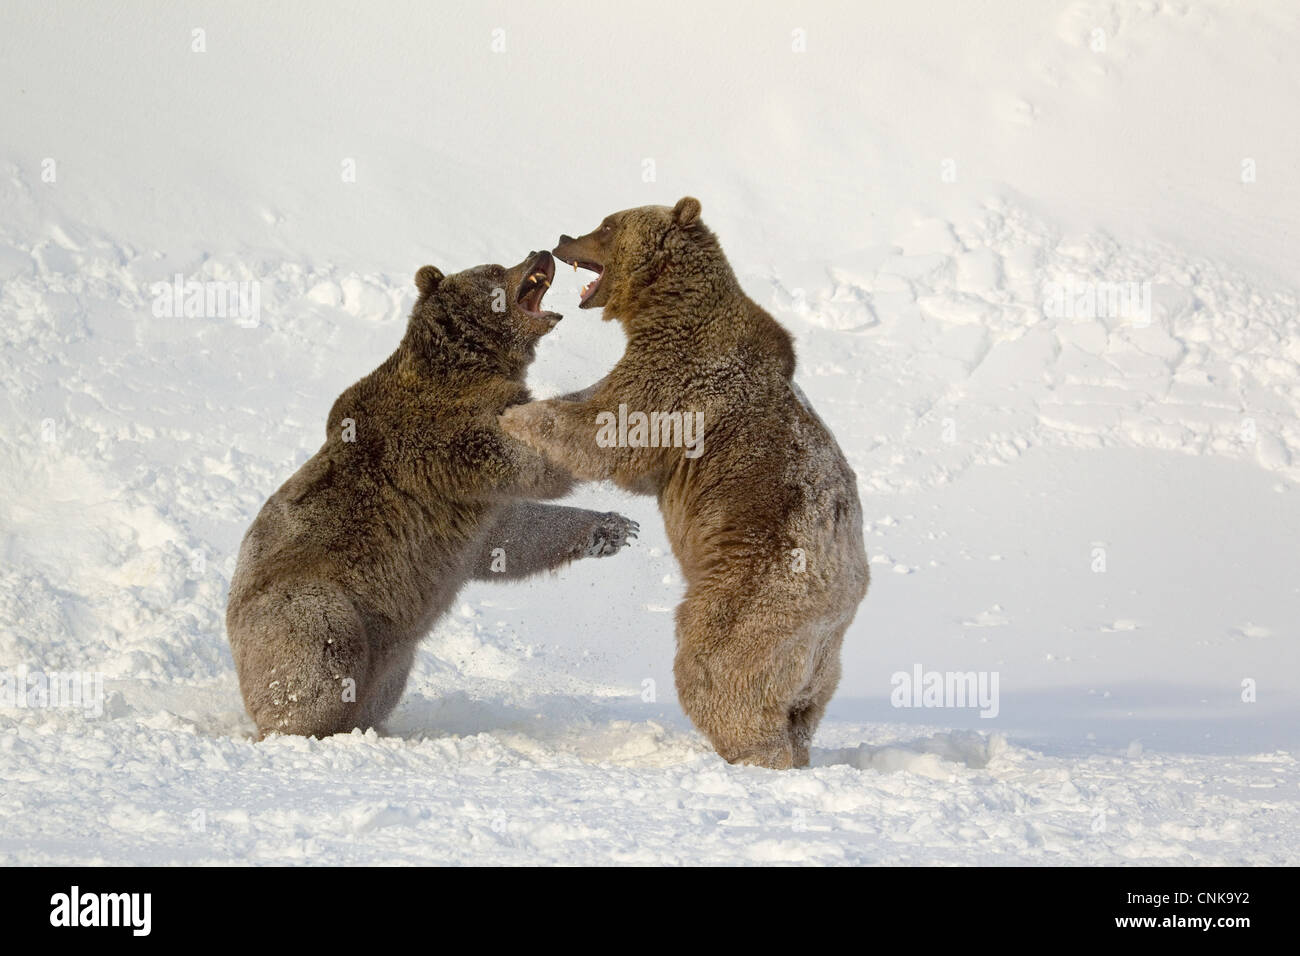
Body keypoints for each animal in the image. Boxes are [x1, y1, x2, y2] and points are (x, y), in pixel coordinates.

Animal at [226, 250, 638, 740]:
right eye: (495, 269)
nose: (540, 252)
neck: (470, 365)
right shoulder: (446, 441)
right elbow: (533, 460)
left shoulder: (474, 507)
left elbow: (514, 537)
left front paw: (614, 529)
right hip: (304, 604)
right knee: (322, 650)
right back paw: (303, 726)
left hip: (390, 662)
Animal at [499, 200, 869, 769]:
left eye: (607, 224)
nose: (562, 236)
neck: (666, 310)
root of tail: (846, 601)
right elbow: (598, 405)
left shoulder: (681, 380)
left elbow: (609, 429)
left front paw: (514, 414)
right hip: (817, 658)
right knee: (802, 709)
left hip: (759, 588)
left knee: (717, 669)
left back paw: (753, 754)